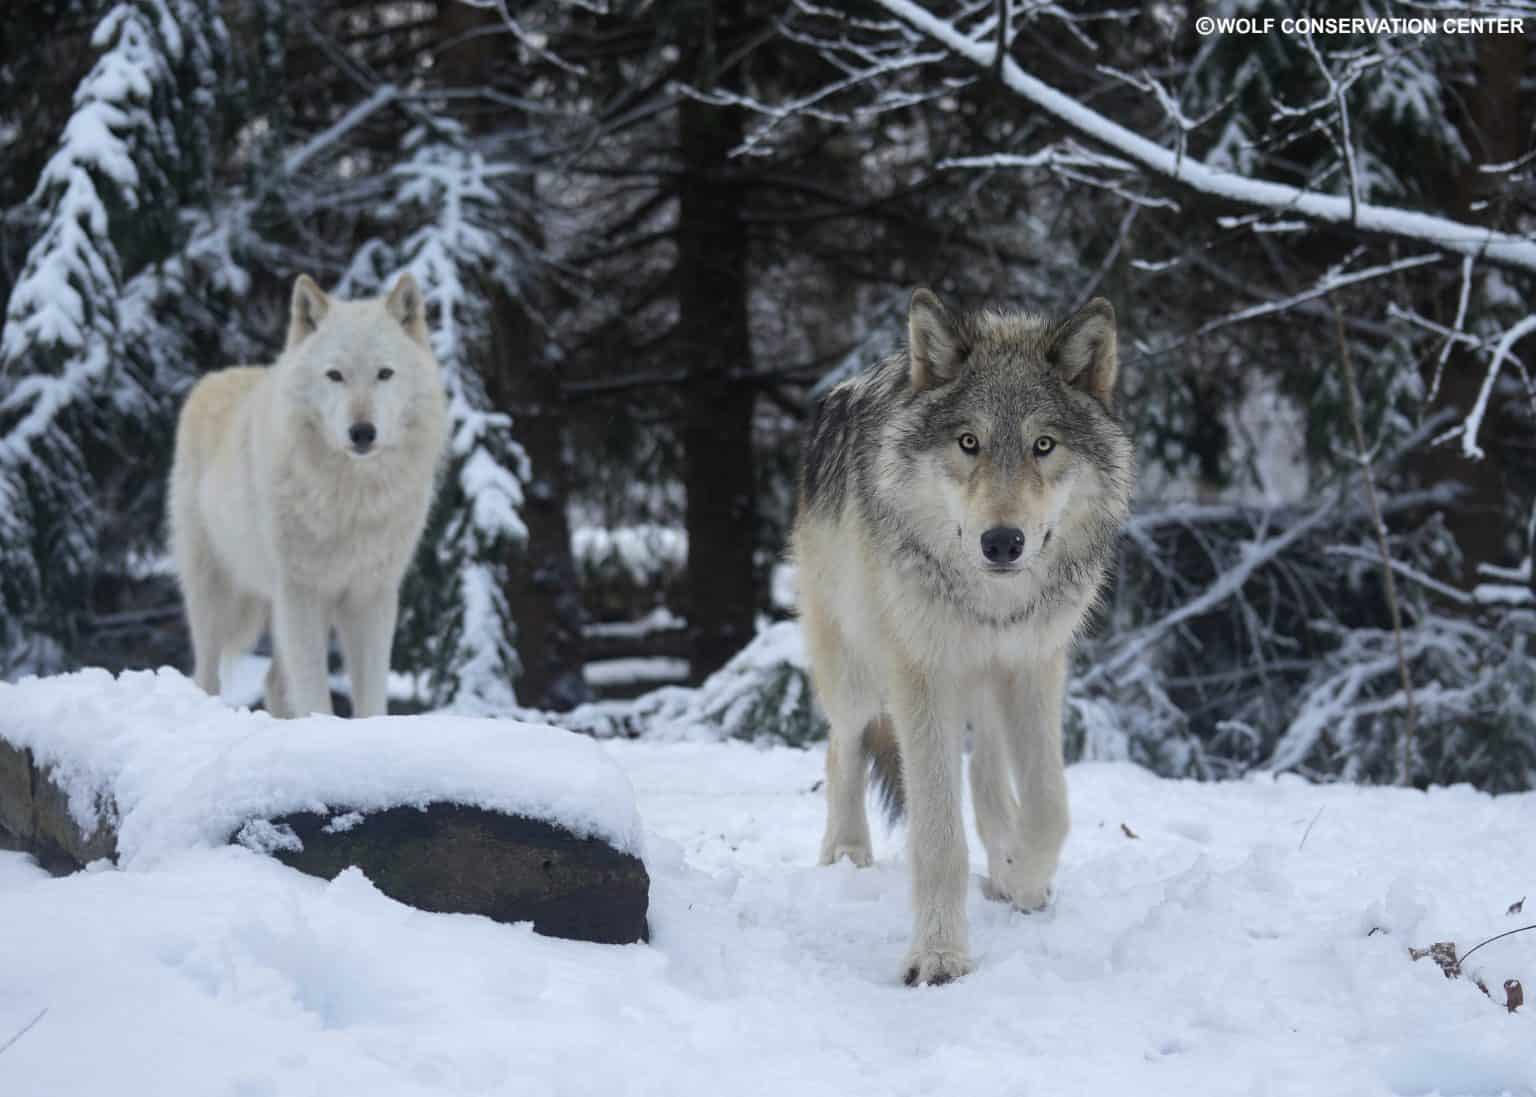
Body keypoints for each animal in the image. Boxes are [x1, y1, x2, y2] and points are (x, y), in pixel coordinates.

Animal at [169, 273, 448, 719]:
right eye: (334, 375)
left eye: (385, 374)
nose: (362, 432)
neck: (351, 498)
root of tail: (215, 377)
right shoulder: (302, 594)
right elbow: (315, 692)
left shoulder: (372, 596)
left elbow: (370, 698)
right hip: (215, 594)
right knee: (206, 674)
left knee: (273, 682)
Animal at [792, 288, 1134, 985]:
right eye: (969, 441)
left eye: (1043, 444)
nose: (1002, 542)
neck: (994, 604)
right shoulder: (922, 675)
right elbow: (938, 837)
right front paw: (939, 957)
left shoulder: (1035, 663)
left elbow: (1049, 805)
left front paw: (1022, 876)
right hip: (860, 673)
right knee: (842, 746)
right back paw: (846, 854)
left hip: (988, 679)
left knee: (986, 770)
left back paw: (1002, 866)